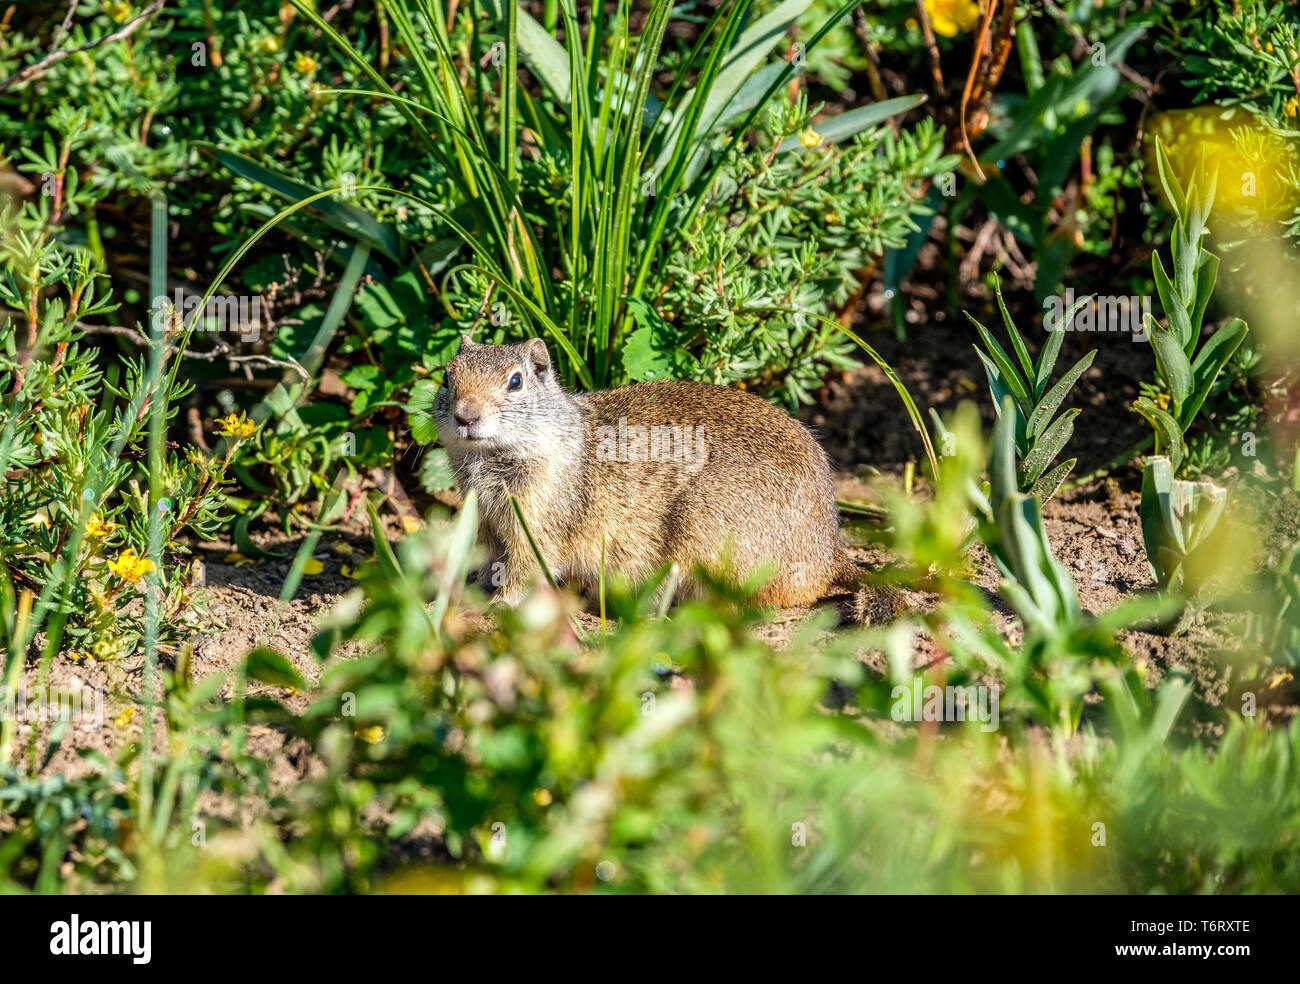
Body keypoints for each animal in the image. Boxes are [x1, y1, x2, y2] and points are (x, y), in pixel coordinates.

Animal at [431, 335, 862, 607]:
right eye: (446, 376)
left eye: (516, 381)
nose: (465, 416)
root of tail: (828, 554)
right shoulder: (486, 522)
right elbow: (486, 561)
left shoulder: (537, 523)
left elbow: (527, 569)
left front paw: (500, 604)